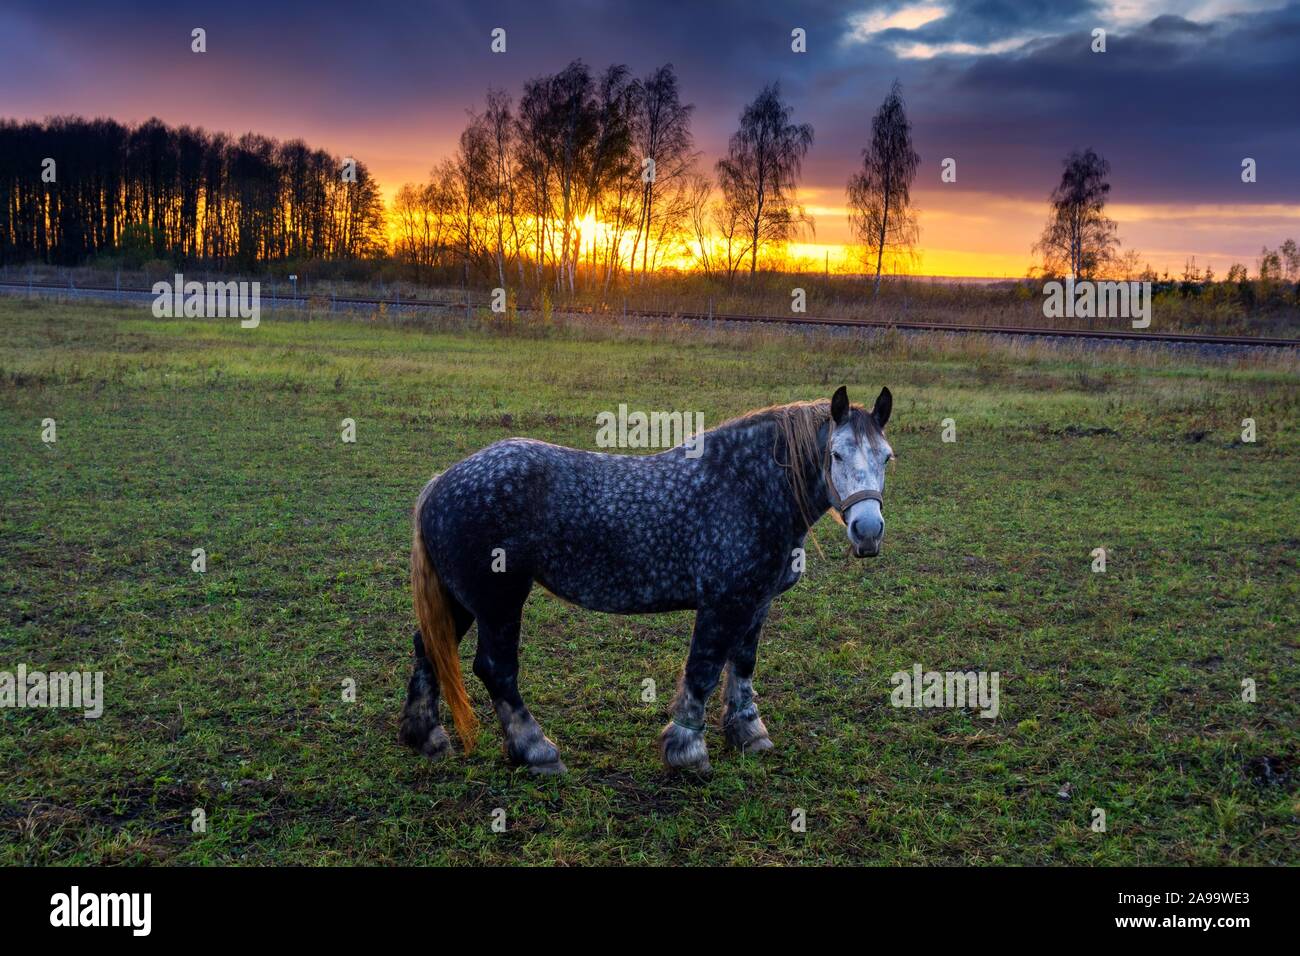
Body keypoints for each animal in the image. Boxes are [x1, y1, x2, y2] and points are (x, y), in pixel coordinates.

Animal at [399, 385, 895, 774]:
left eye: (887, 458)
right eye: (835, 454)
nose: (868, 532)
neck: (747, 488)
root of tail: (441, 482)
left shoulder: (757, 602)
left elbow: (742, 666)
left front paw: (748, 733)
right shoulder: (722, 604)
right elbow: (703, 671)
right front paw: (688, 751)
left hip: (462, 600)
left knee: (429, 648)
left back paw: (425, 737)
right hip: (499, 602)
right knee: (496, 669)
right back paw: (537, 750)